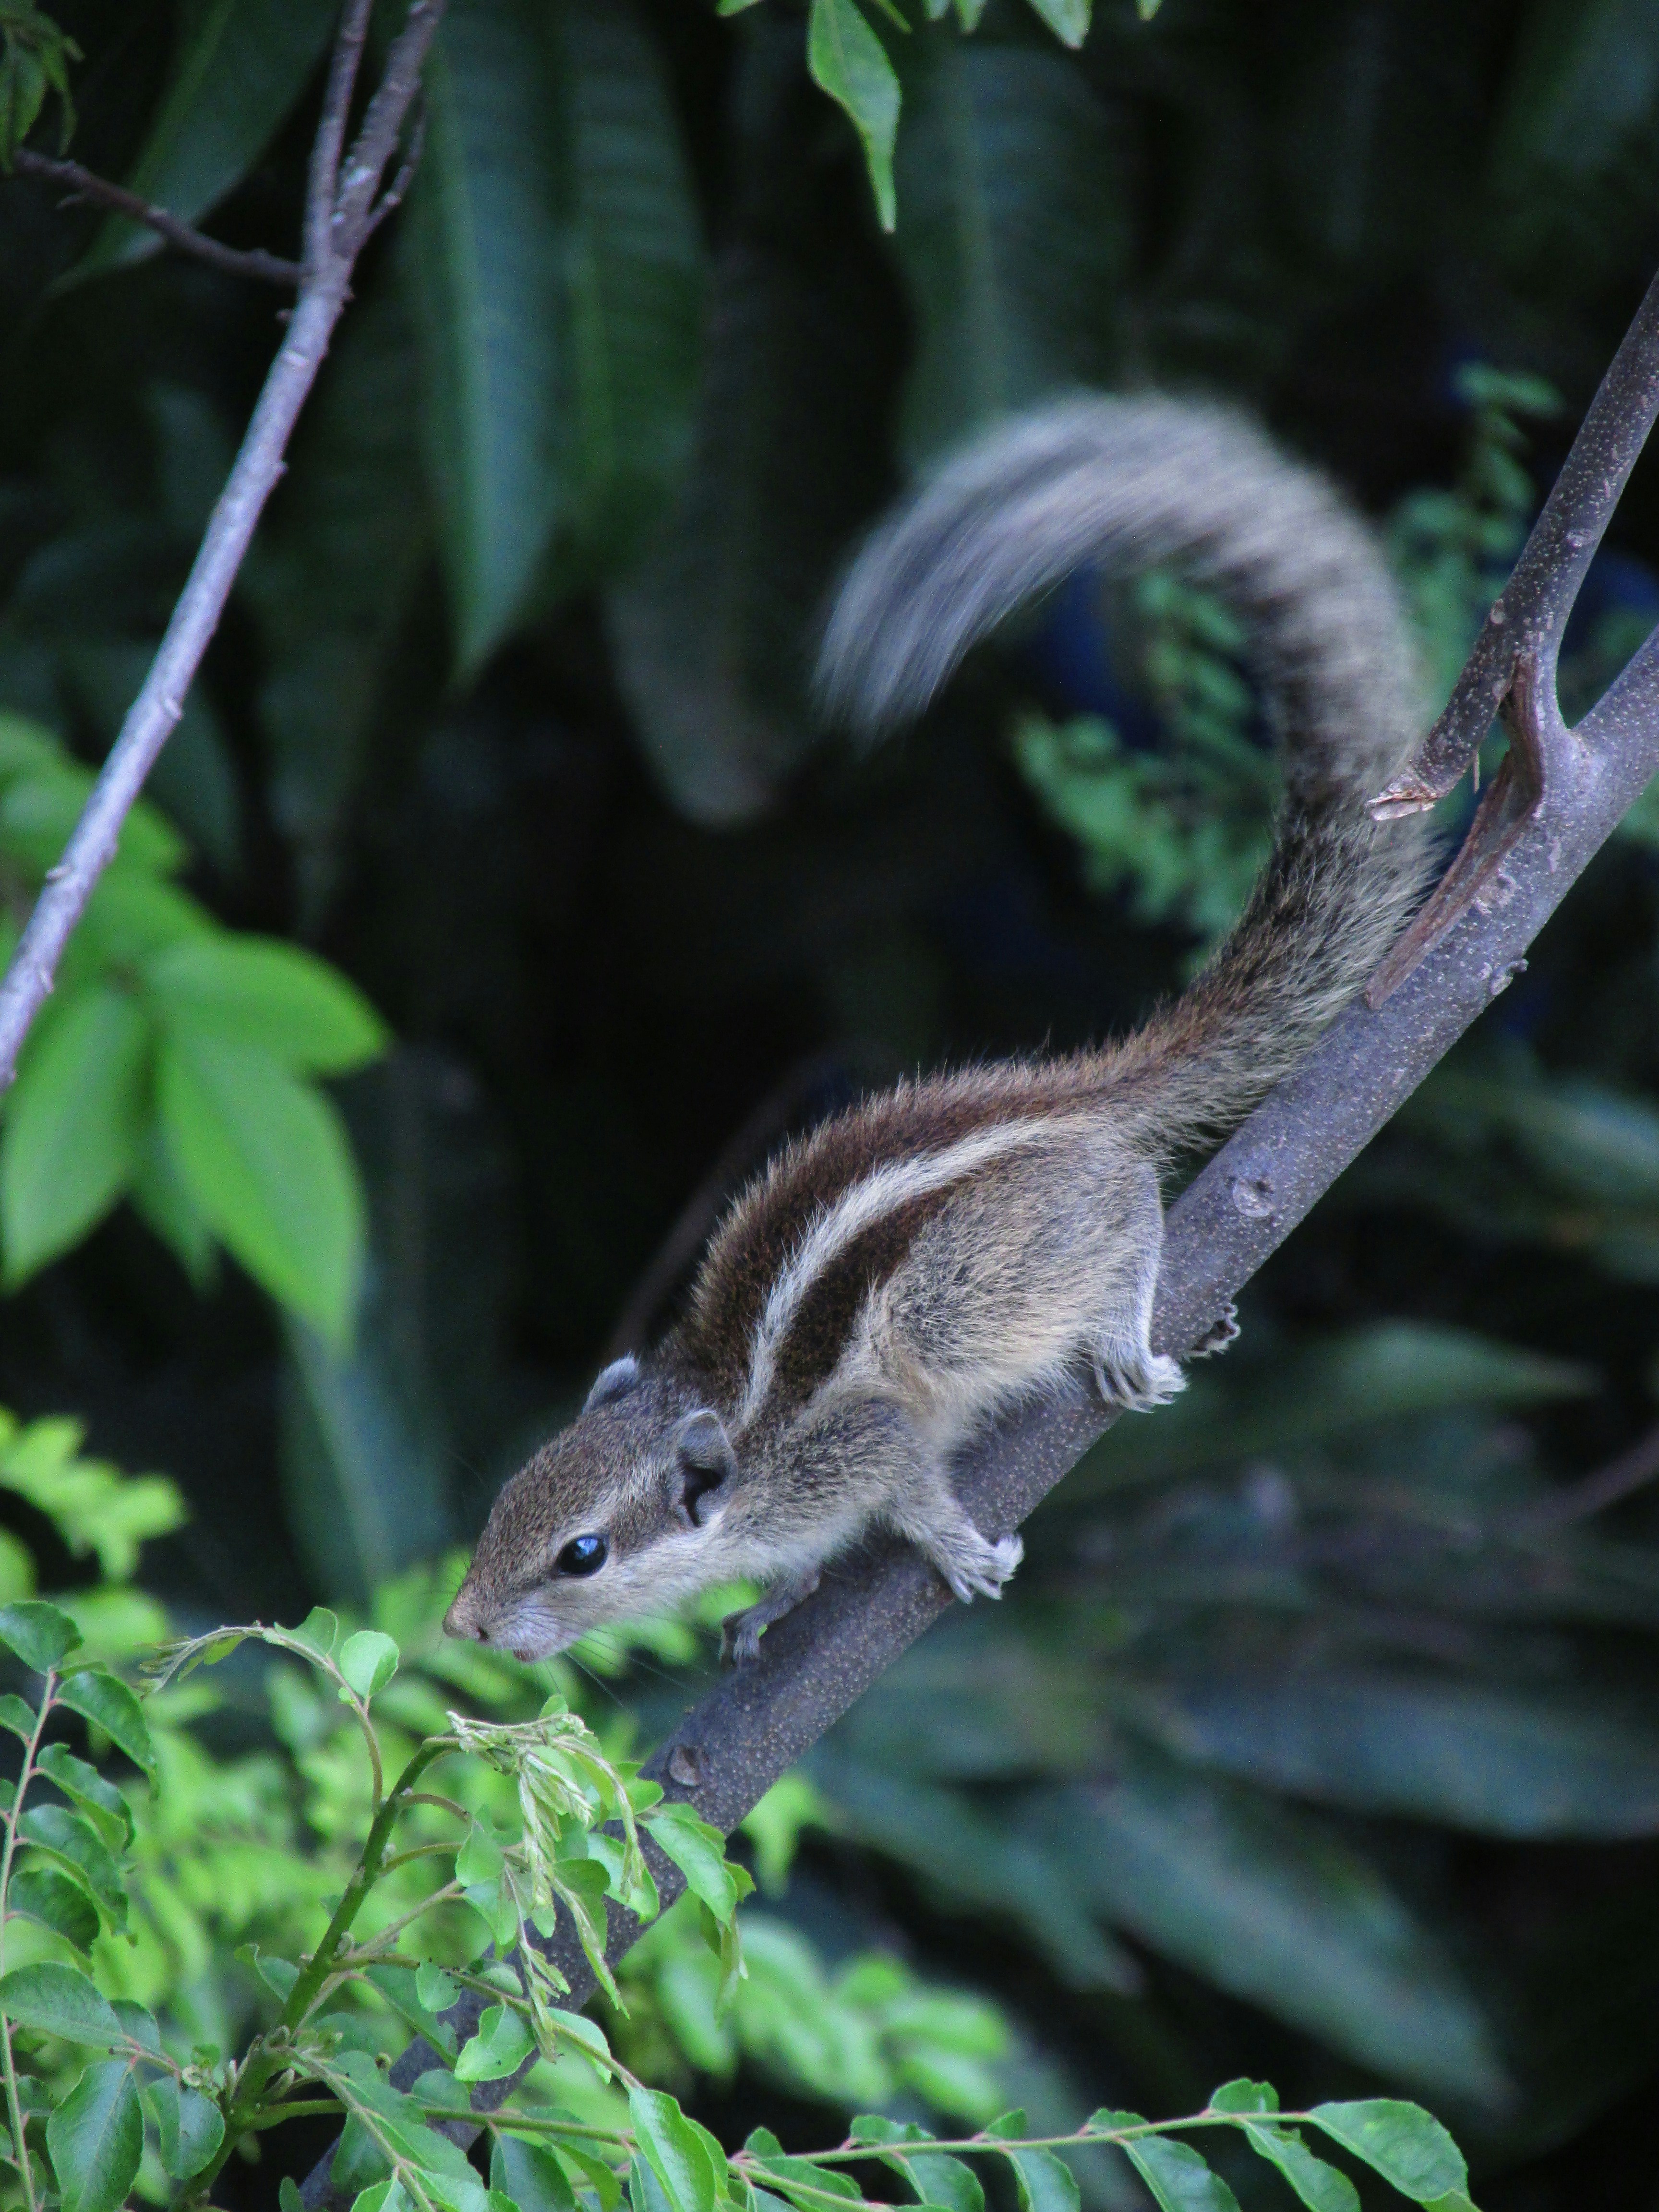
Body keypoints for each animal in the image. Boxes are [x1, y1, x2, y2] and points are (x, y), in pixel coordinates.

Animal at [444, 394, 1435, 1666]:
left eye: (582, 1553)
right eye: (506, 1496)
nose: (464, 1621)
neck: (734, 1427)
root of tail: (1060, 1096)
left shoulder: (852, 1445)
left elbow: (907, 1481)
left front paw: (956, 1548)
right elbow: (803, 1567)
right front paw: (766, 1610)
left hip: (973, 1284)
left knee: (1132, 1200)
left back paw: (1122, 1334)